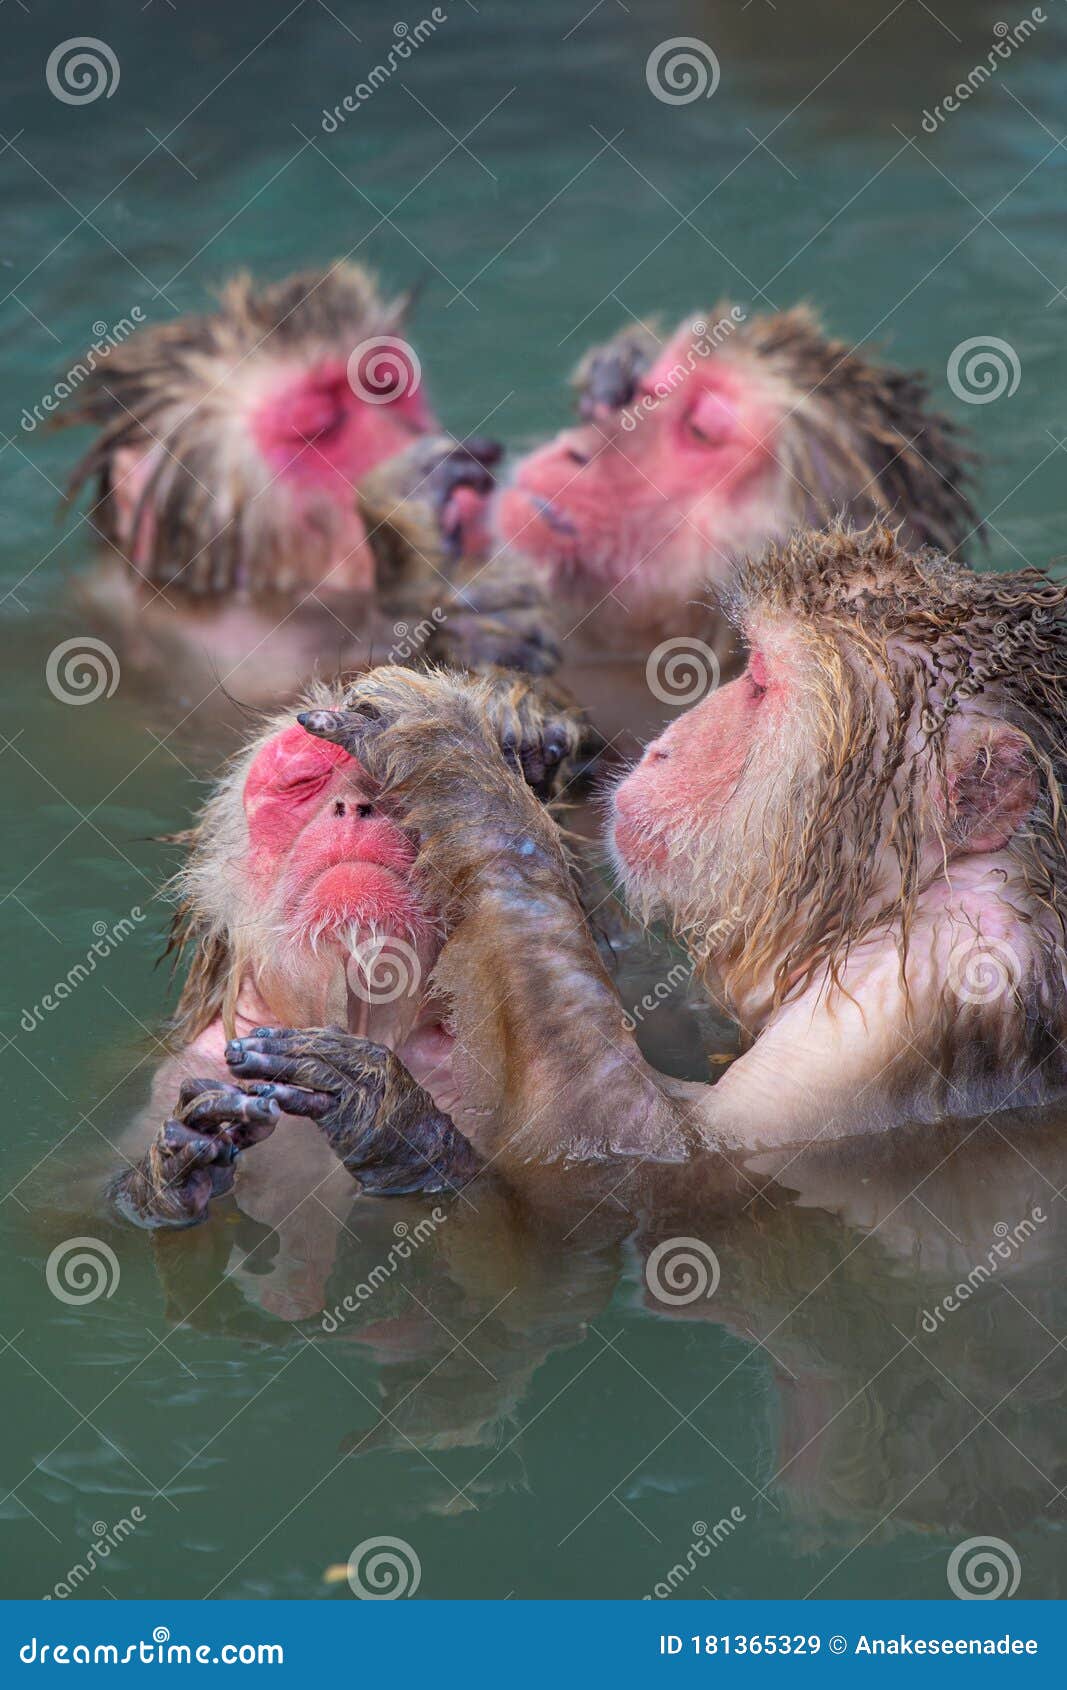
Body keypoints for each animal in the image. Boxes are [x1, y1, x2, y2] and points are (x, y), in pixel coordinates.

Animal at [212, 524, 1067, 1201]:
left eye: (759, 684)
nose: (663, 746)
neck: (910, 897)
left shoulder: (927, 983)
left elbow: (645, 1156)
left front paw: (456, 763)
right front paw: (521, 723)